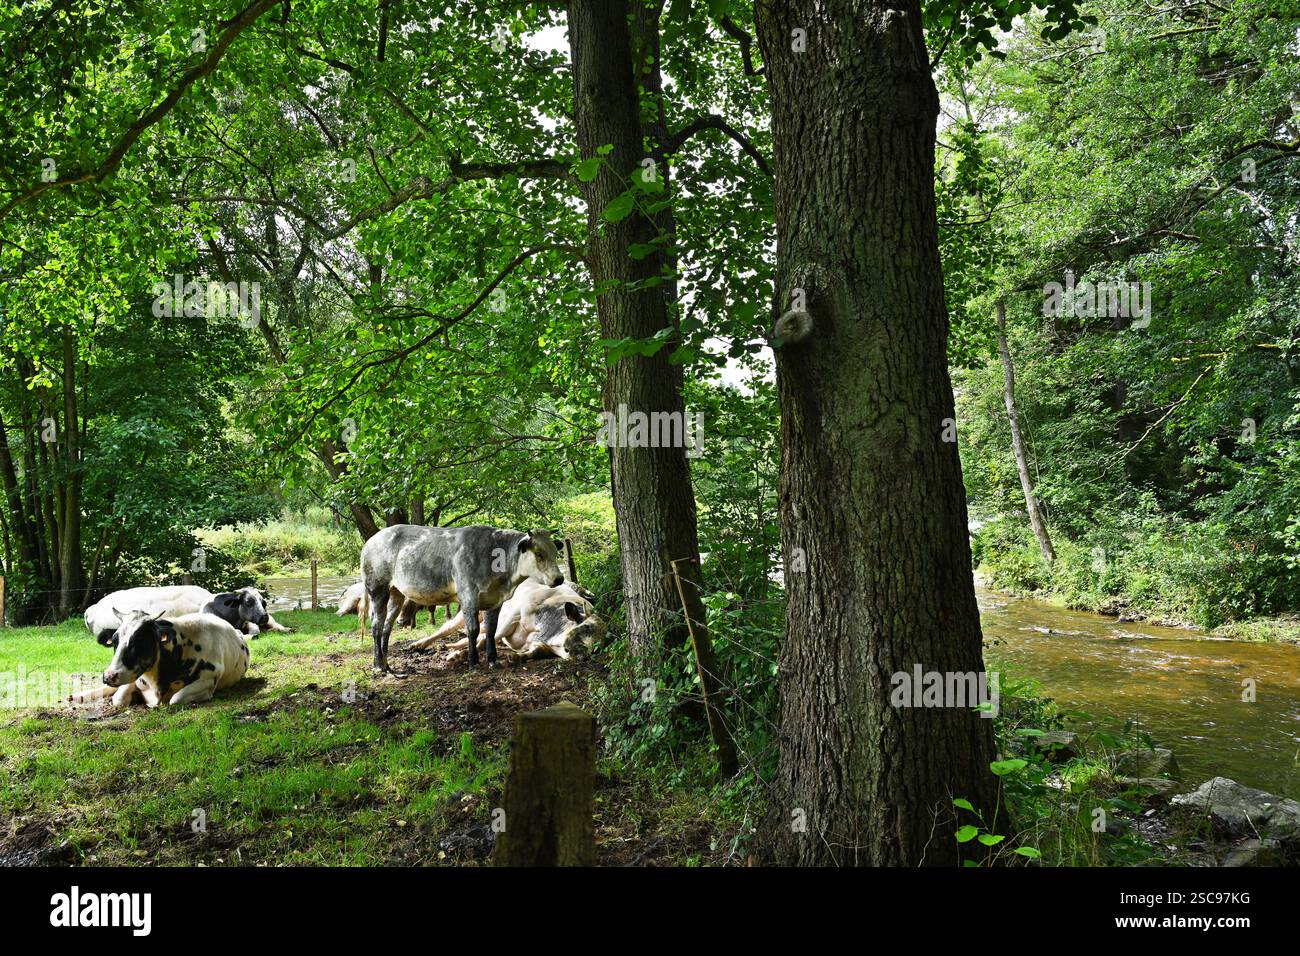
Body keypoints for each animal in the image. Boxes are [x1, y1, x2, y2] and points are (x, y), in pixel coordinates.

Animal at [74, 609, 250, 709]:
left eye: (139, 641)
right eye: (115, 641)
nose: (109, 676)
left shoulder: (208, 681)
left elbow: (176, 699)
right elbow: (118, 699)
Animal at [360, 524, 564, 672]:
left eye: (555, 552)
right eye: (539, 553)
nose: (559, 579)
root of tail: (371, 541)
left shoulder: (494, 602)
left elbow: (490, 631)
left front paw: (493, 662)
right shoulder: (468, 597)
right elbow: (473, 630)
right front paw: (473, 664)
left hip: (396, 594)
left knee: (387, 627)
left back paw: (386, 665)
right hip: (377, 590)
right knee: (376, 626)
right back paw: (378, 666)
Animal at [410, 579, 604, 662]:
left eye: (598, 646)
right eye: (586, 627)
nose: (583, 655)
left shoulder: (539, 643)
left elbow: (536, 652)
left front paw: (515, 657)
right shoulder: (512, 617)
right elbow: (488, 639)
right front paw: (457, 656)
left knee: (471, 636)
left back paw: (447, 646)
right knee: (447, 628)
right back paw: (418, 645)